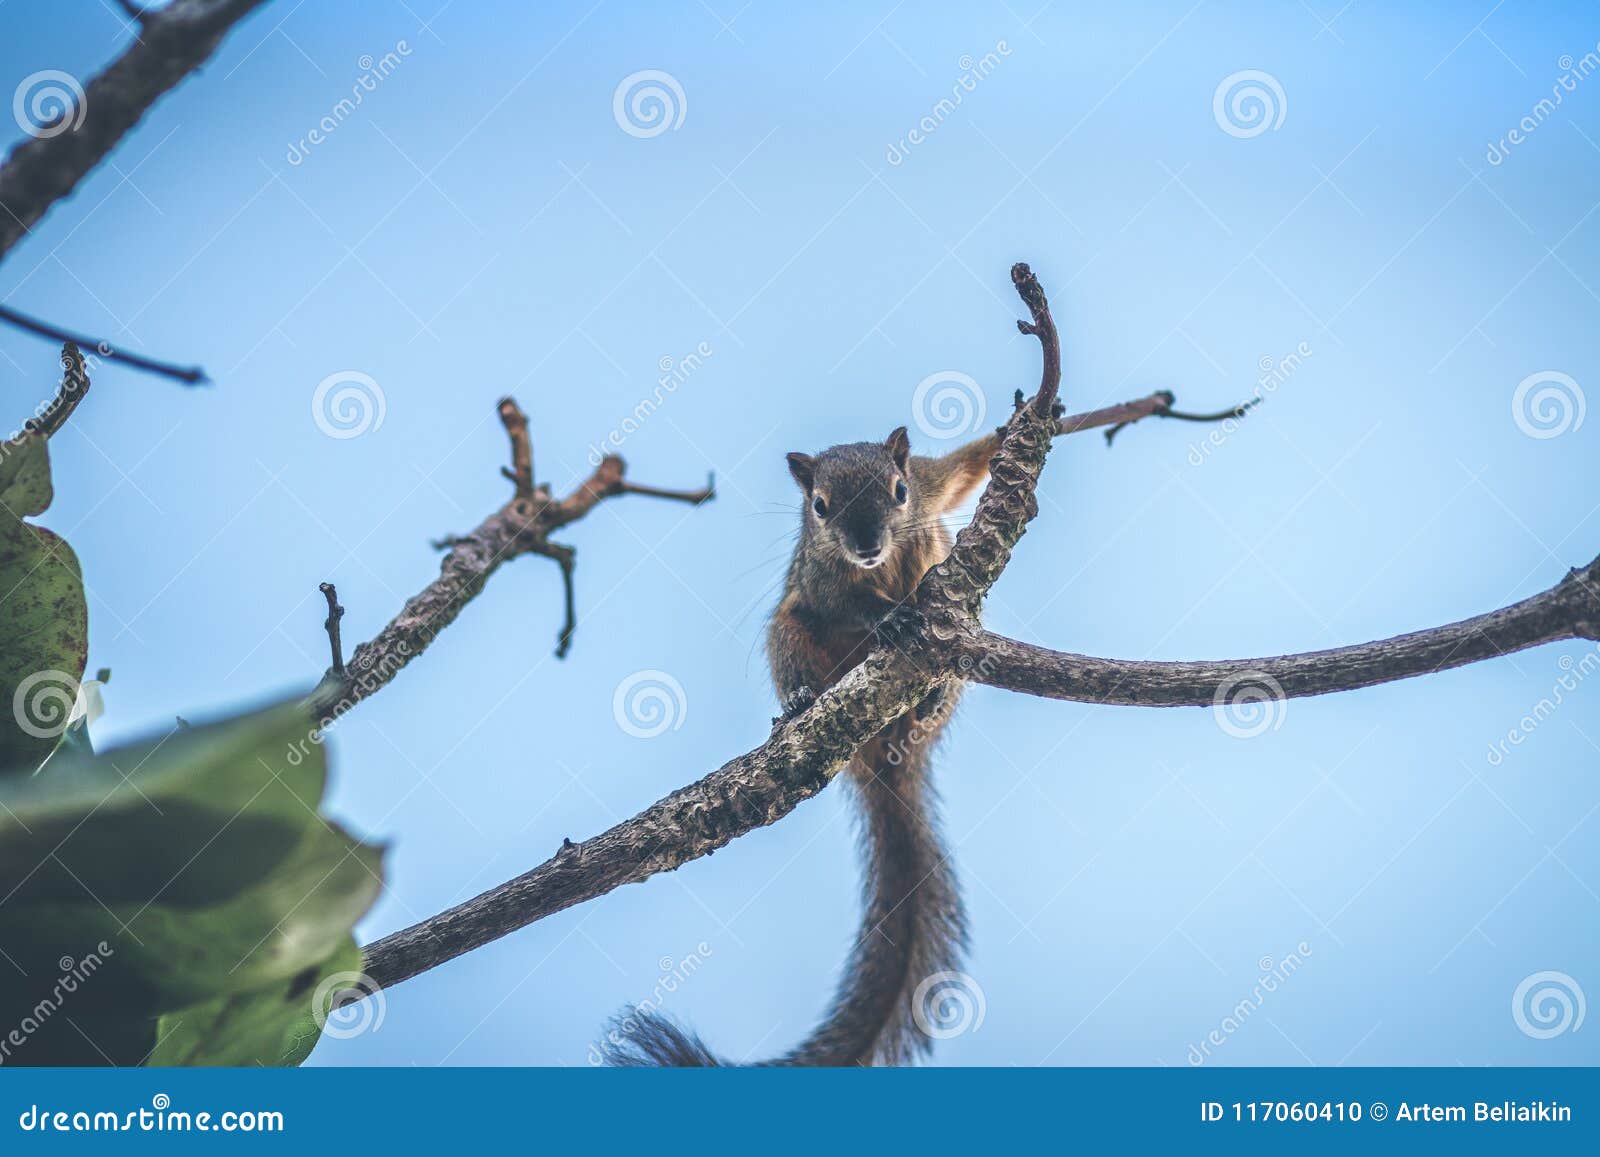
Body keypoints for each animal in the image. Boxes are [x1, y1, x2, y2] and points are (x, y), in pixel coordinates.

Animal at [603, 423, 1001, 1066]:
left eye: (898, 491)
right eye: (819, 506)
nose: (865, 545)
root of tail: (886, 758)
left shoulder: (930, 485)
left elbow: (967, 467)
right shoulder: (819, 577)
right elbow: (843, 603)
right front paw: (885, 617)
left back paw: (930, 700)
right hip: (787, 634)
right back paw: (799, 704)